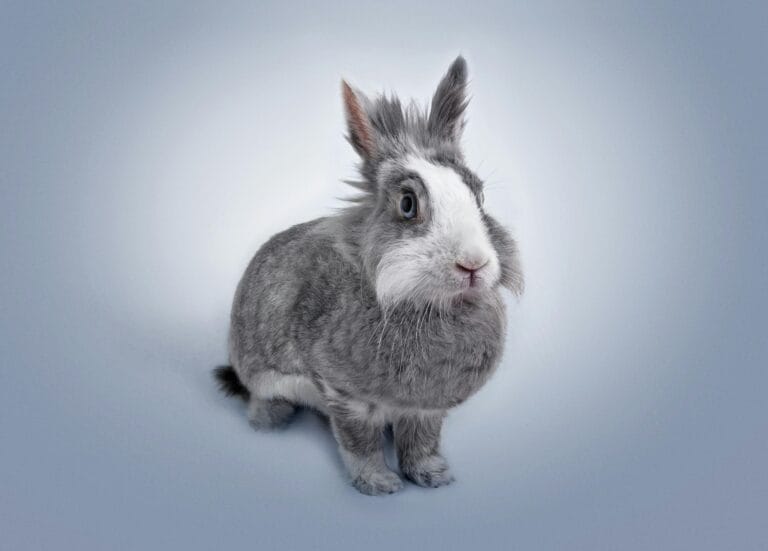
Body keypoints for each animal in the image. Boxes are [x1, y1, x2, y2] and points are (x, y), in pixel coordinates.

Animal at [214, 56, 523, 496]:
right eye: (408, 204)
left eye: (479, 196)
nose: (474, 264)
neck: (425, 304)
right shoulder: (345, 397)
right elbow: (359, 443)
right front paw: (379, 484)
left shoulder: (425, 409)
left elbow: (422, 442)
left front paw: (433, 476)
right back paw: (269, 425)